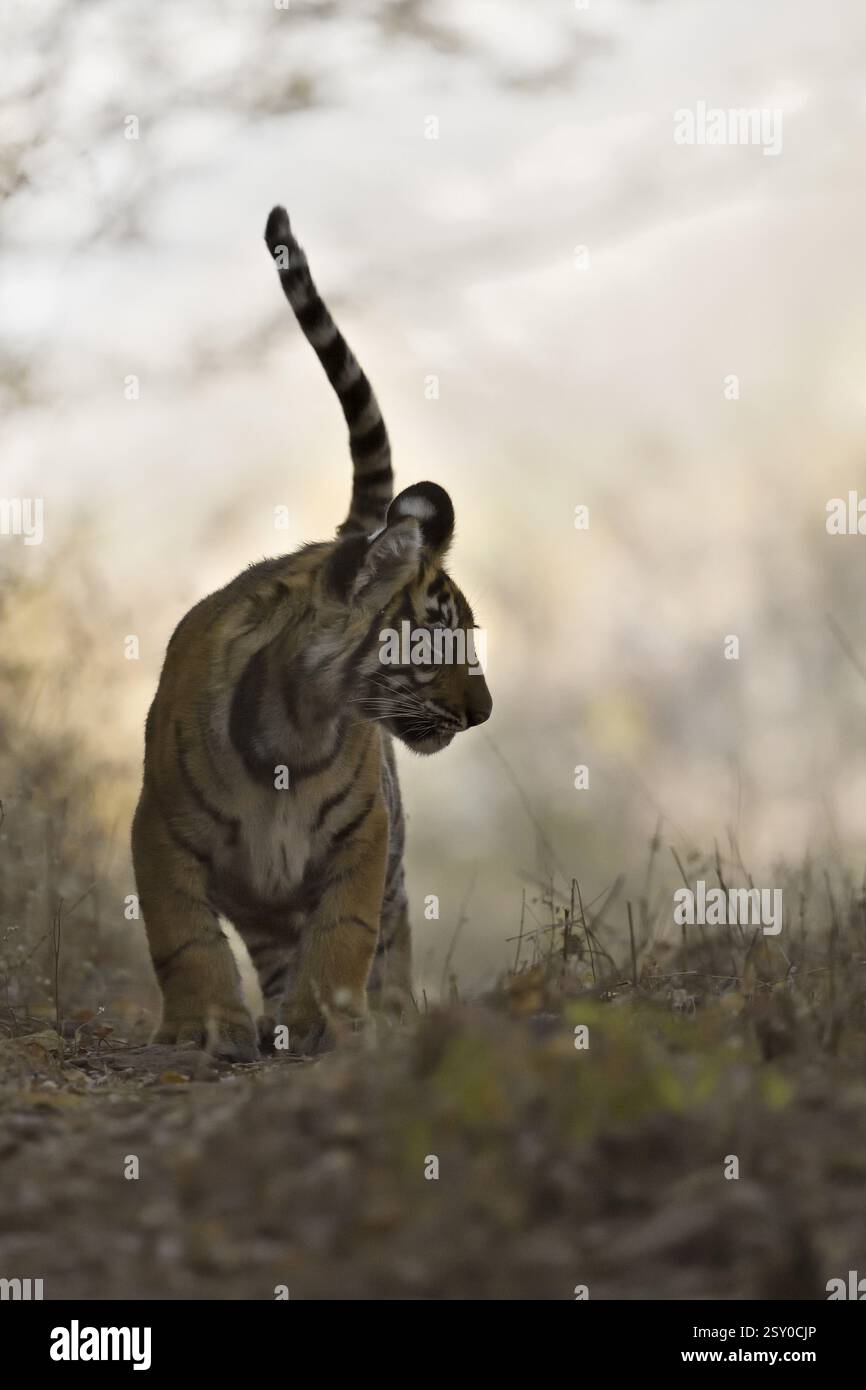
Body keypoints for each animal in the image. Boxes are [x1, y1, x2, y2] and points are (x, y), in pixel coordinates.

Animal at [131, 205, 492, 1061]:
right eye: (437, 640)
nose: (485, 711)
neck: (295, 728)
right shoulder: (159, 830)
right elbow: (182, 934)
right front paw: (203, 1028)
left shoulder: (364, 836)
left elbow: (346, 932)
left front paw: (335, 1023)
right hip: (257, 889)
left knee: (386, 935)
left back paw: (382, 1016)